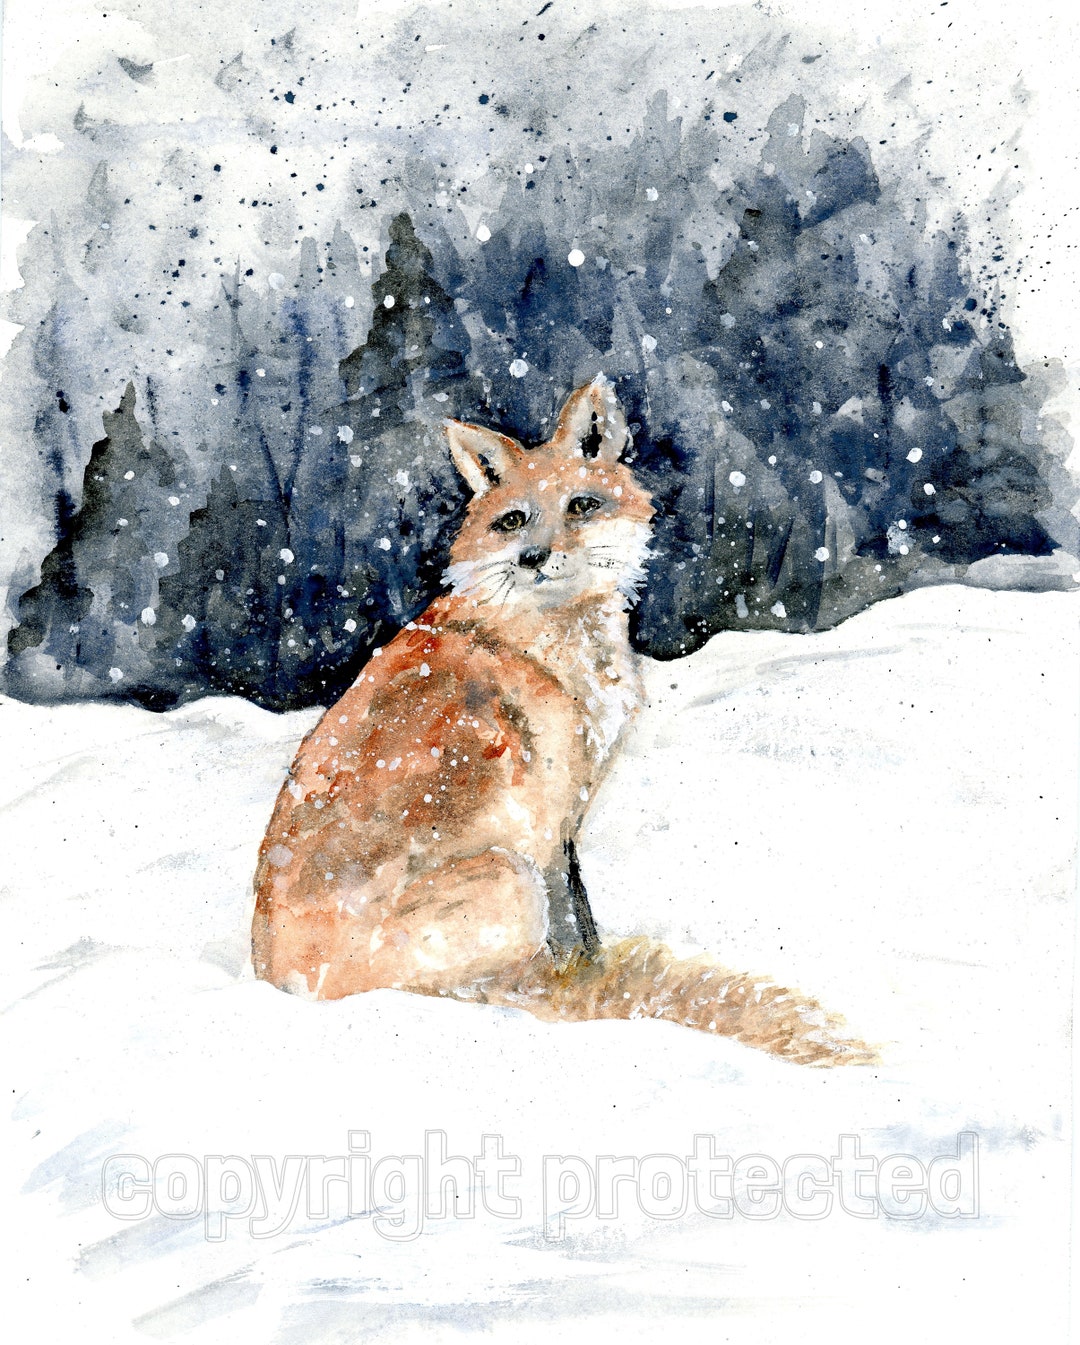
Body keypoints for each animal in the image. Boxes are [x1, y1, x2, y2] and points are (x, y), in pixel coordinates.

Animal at [252, 377, 875, 1066]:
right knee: (474, 990)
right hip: (506, 876)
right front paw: (592, 989)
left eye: (580, 506)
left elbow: (584, 920)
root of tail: (275, 979)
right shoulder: (542, 819)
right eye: (513, 519)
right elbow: (571, 928)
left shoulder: (572, 811)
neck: (551, 644)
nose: (532, 556)